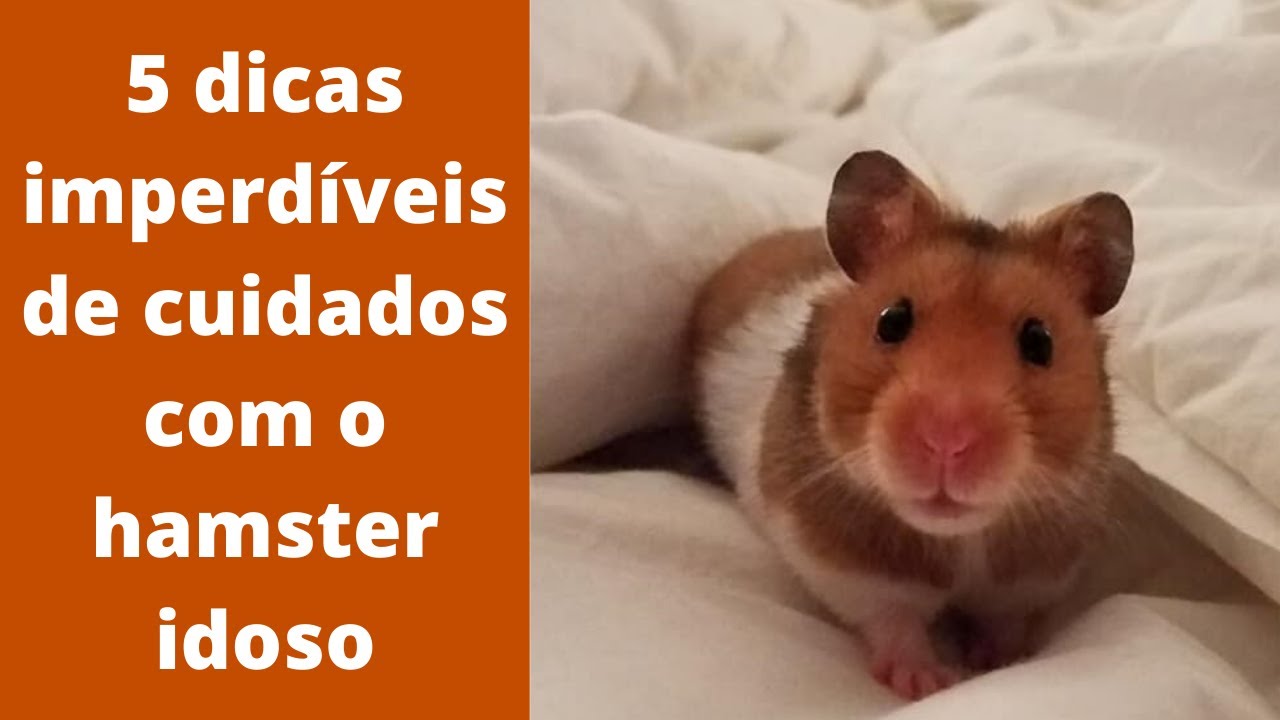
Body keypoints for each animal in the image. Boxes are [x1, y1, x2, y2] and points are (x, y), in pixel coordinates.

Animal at [688, 150, 1133, 700]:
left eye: (1040, 341)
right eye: (891, 320)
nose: (947, 439)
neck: (962, 541)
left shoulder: (1030, 575)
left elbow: (1004, 621)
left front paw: (1002, 663)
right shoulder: (846, 565)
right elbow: (894, 620)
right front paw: (926, 684)